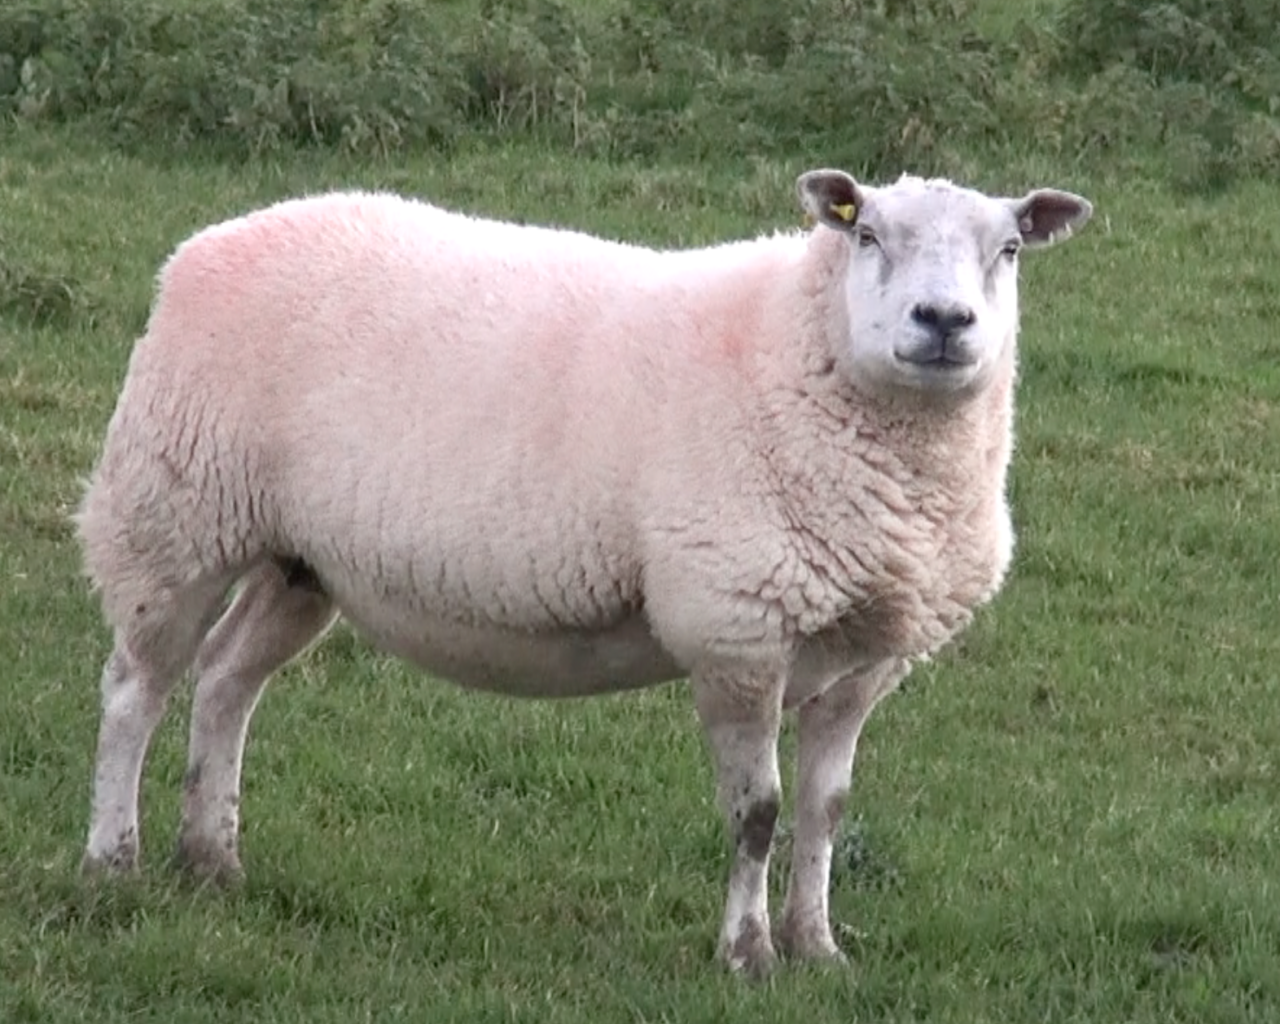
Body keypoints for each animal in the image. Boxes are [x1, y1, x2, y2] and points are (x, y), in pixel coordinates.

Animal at [75, 169, 1091, 976]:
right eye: (868, 233)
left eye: (1008, 248)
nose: (944, 322)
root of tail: (209, 242)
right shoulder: (736, 628)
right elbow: (759, 814)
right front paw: (747, 955)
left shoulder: (867, 655)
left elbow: (825, 810)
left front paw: (820, 948)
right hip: (176, 512)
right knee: (135, 688)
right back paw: (111, 863)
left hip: (299, 560)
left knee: (225, 681)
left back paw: (212, 862)